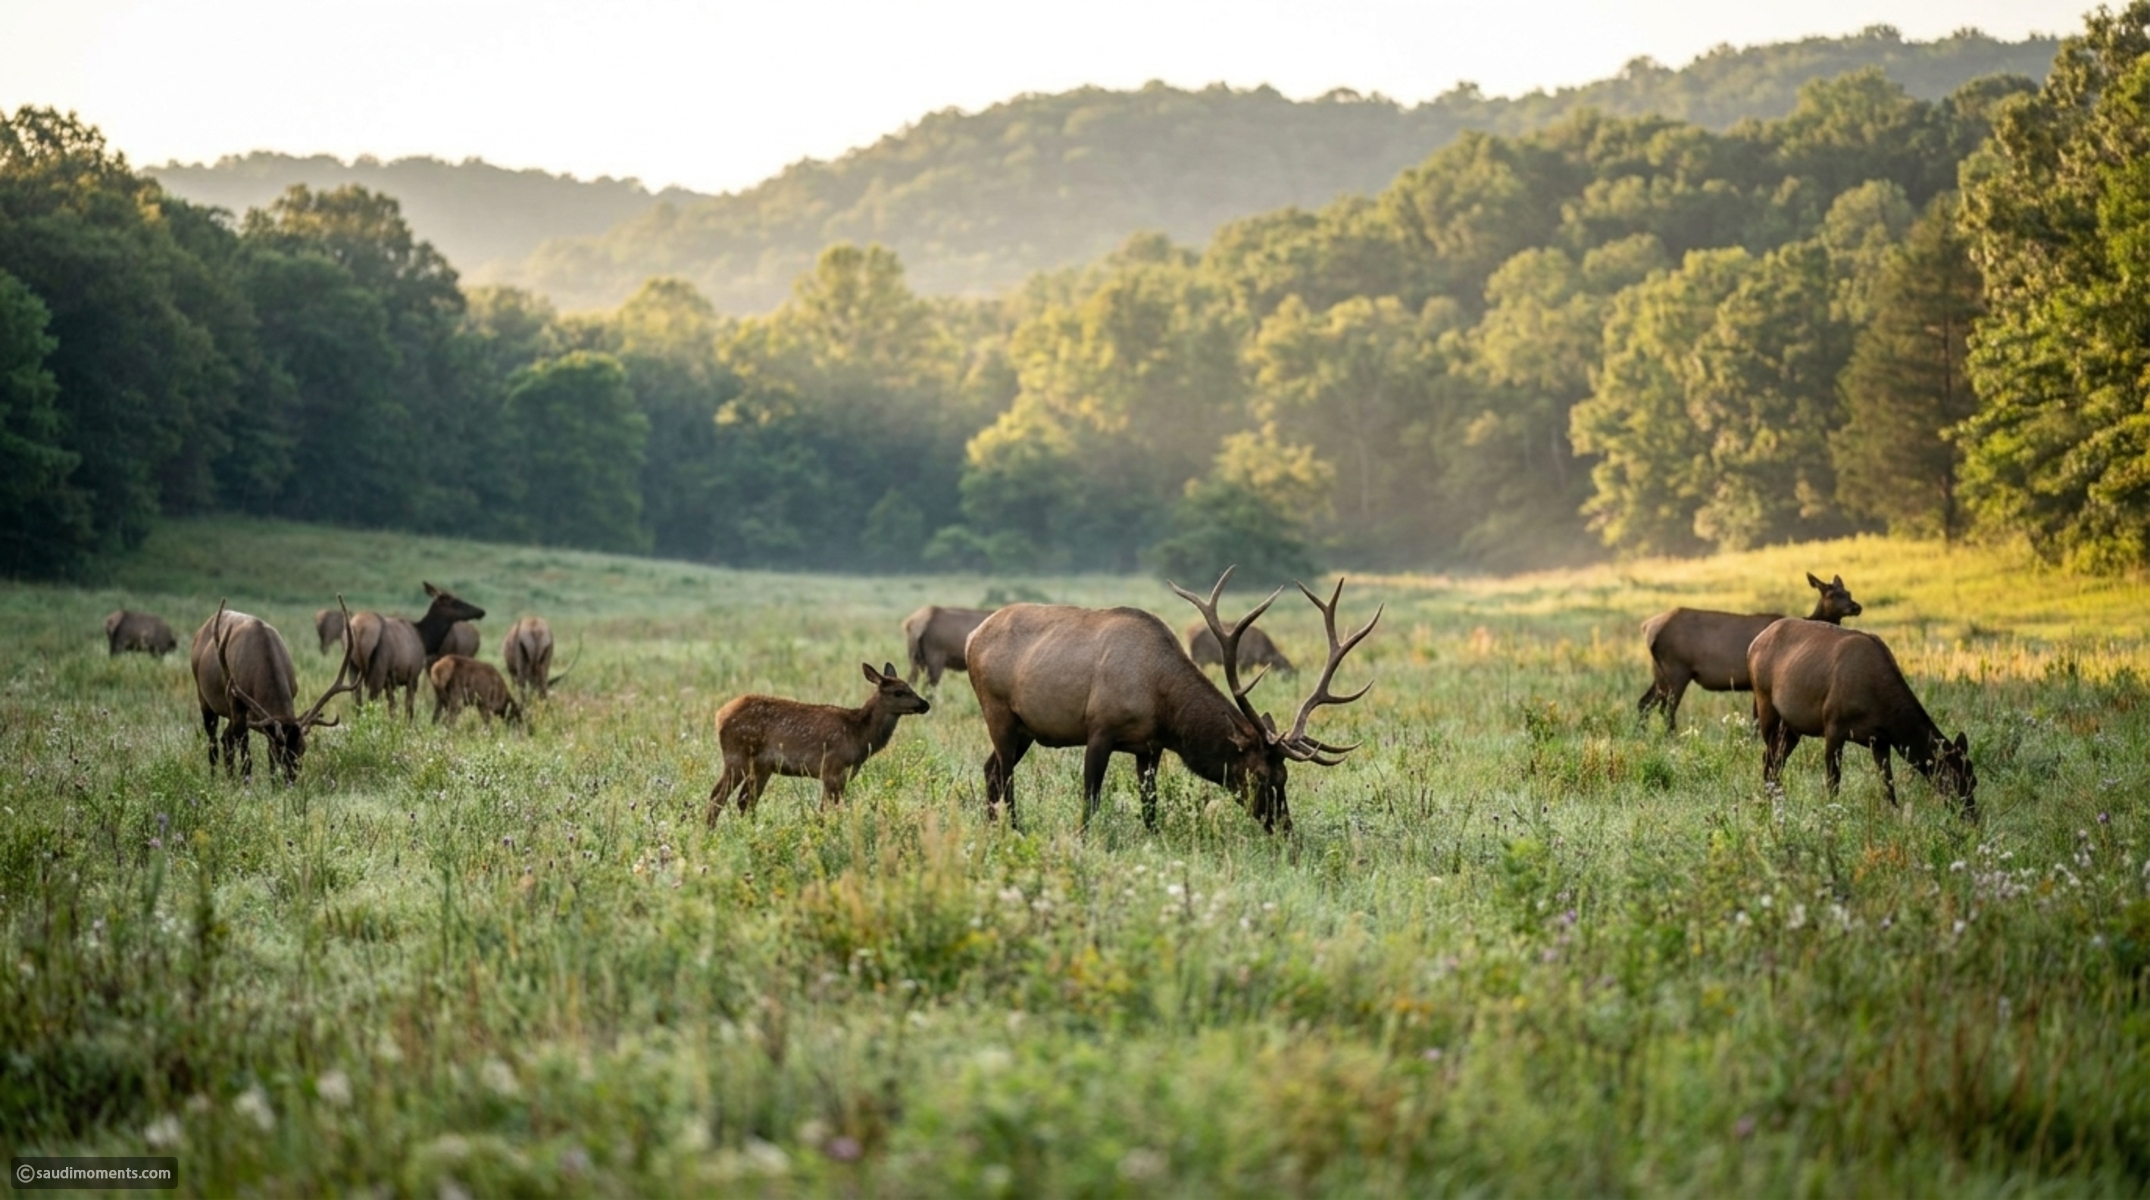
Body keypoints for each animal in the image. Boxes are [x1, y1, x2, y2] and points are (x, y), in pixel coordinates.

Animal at [191, 598, 359, 782]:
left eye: (303, 748)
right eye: (280, 751)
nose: (290, 780)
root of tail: (199, 631)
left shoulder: (289, 696)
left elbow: (267, 757)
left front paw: (273, 784)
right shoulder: (236, 701)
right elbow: (247, 759)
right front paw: (246, 784)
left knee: (226, 739)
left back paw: (230, 780)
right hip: (204, 698)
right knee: (213, 744)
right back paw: (214, 780)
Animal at [705, 663, 931, 820]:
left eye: (910, 686)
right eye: (899, 692)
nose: (925, 704)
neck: (859, 735)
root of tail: (719, 715)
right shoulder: (832, 769)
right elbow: (828, 810)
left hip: (761, 766)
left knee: (744, 800)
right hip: (736, 756)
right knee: (718, 796)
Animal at [964, 568, 1378, 833]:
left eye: (1285, 776)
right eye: (1260, 776)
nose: (1286, 829)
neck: (1161, 703)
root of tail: (972, 637)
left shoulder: (1150, 746)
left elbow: (1150, 807)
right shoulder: (1099, 730)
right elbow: (1090, 801)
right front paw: (1083, 840)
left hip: (1025, 729)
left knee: (989, 770)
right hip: (997, 711)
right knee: (1004, 776)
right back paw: (1012, 831)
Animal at [1637, 573, 1862, 731]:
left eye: (1848, 592)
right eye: (1831, 595)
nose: (1856, 607)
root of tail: (1648, 627)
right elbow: (1756, 720)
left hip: (1660, 672)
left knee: (1644, 702)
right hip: (1676, 668)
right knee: (1666, 710)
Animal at [1749, 619, 1976, 818]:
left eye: (1974, 780)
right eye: (1952, 780)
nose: (1970, 817)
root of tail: (1753, 645)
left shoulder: (1881, 740)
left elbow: (1887, 781)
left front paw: (1893, 813)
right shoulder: (1833, 725)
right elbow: (1833, 779)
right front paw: (1832, 810)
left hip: (1792, 726)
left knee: (1777, 758)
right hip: (1765, 701)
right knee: (1768, 757)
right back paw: (1771, 801)